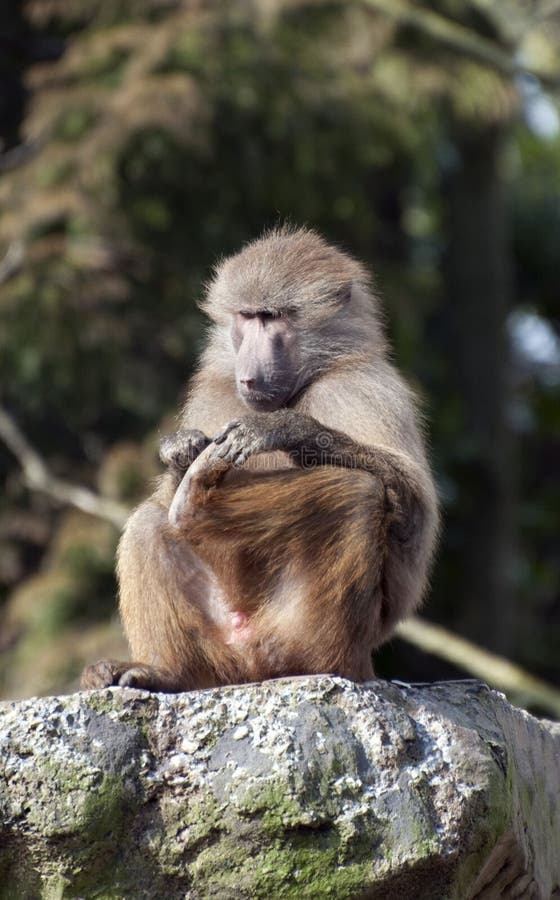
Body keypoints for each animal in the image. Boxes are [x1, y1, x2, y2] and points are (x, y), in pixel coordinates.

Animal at [81, 226, 439, 692]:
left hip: (308, 629)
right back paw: (162, 671)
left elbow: (413, 512)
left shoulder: (365, 387)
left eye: (273, 317)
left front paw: (282, 430)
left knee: (357, 492)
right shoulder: (217, 392)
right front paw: (182, 451)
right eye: (246, 317)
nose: (249, 376)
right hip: (217, 649)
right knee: (149, 522)